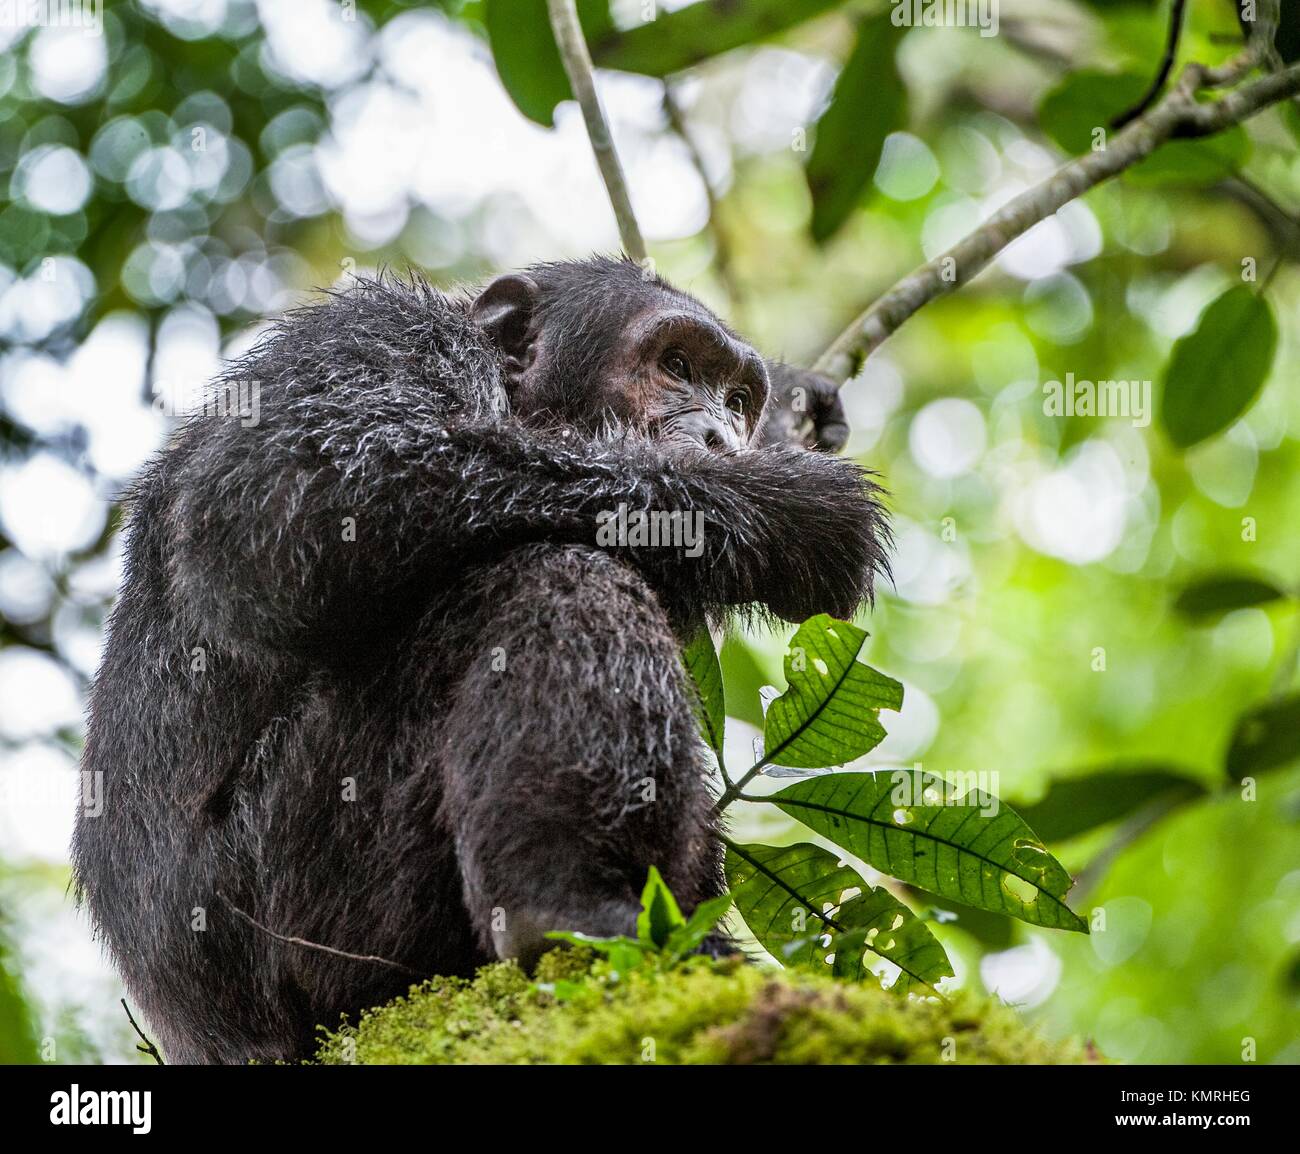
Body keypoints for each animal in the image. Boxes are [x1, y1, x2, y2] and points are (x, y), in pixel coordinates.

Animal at [72, 256, 888, 1063]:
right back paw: (566, 908)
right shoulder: (370, 335)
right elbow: (279, 491)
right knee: (548, 574)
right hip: (306, 900)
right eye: (677, 365)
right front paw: (781, 500)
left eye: (739, 397)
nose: (722, 434)